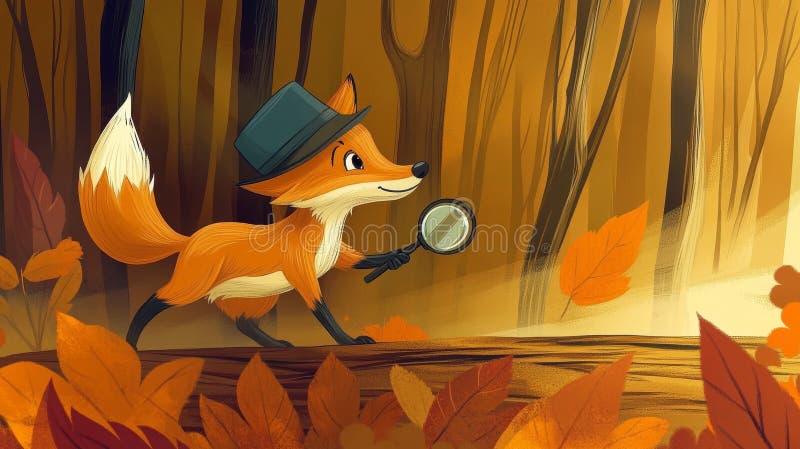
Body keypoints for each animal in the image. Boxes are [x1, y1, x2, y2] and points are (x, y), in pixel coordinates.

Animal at [78, 76, 428, 348]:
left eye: (375, 148)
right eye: (354, 161)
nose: (420, 167)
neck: (327, 228)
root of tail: (190, 238)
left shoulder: (337, 256)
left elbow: (361, 260)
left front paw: (395, 258)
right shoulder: (302, 273)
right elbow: (322, 311)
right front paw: (349, 340)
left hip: (258, 296)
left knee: (242, 323)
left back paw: (275, 344)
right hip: (191, 288)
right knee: (152, 304)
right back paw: (129, 344)